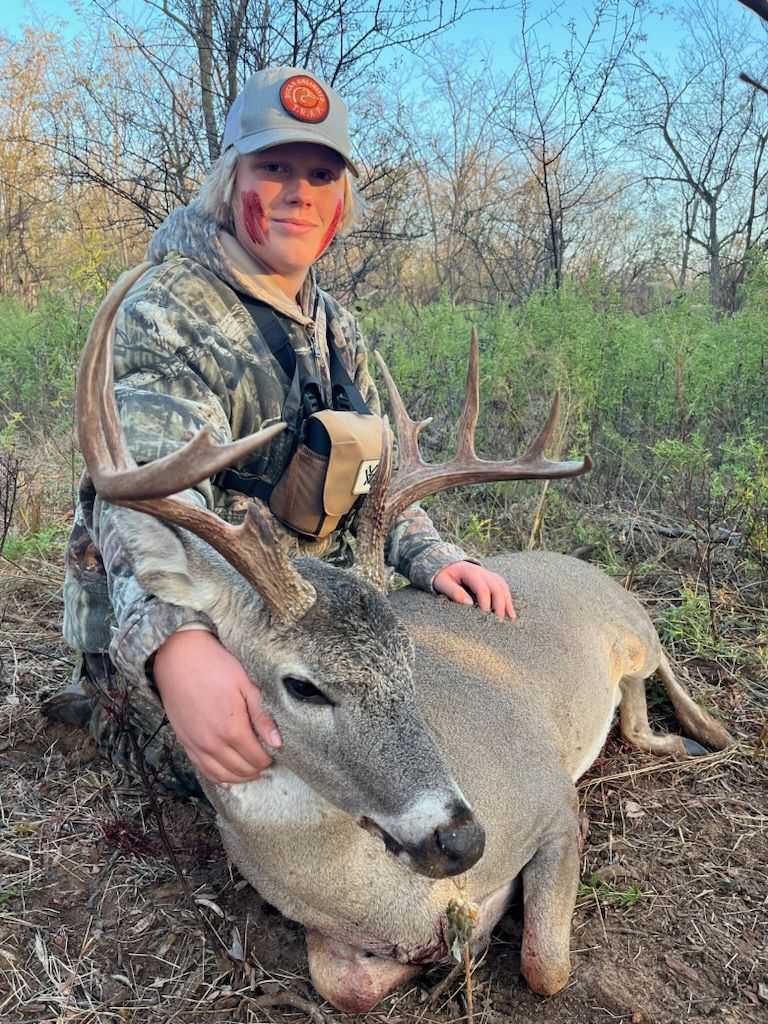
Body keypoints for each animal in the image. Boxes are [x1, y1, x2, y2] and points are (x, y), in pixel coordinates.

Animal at [76, 264, 732, 1013]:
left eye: (408, 661)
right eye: (302, 685)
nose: (461, 839)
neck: (386, 898)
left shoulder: (551, 802)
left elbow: (546, 964)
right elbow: (346, 985)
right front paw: (458, 941)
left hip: (631, 625)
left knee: (657, 666)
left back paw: (708, 733)